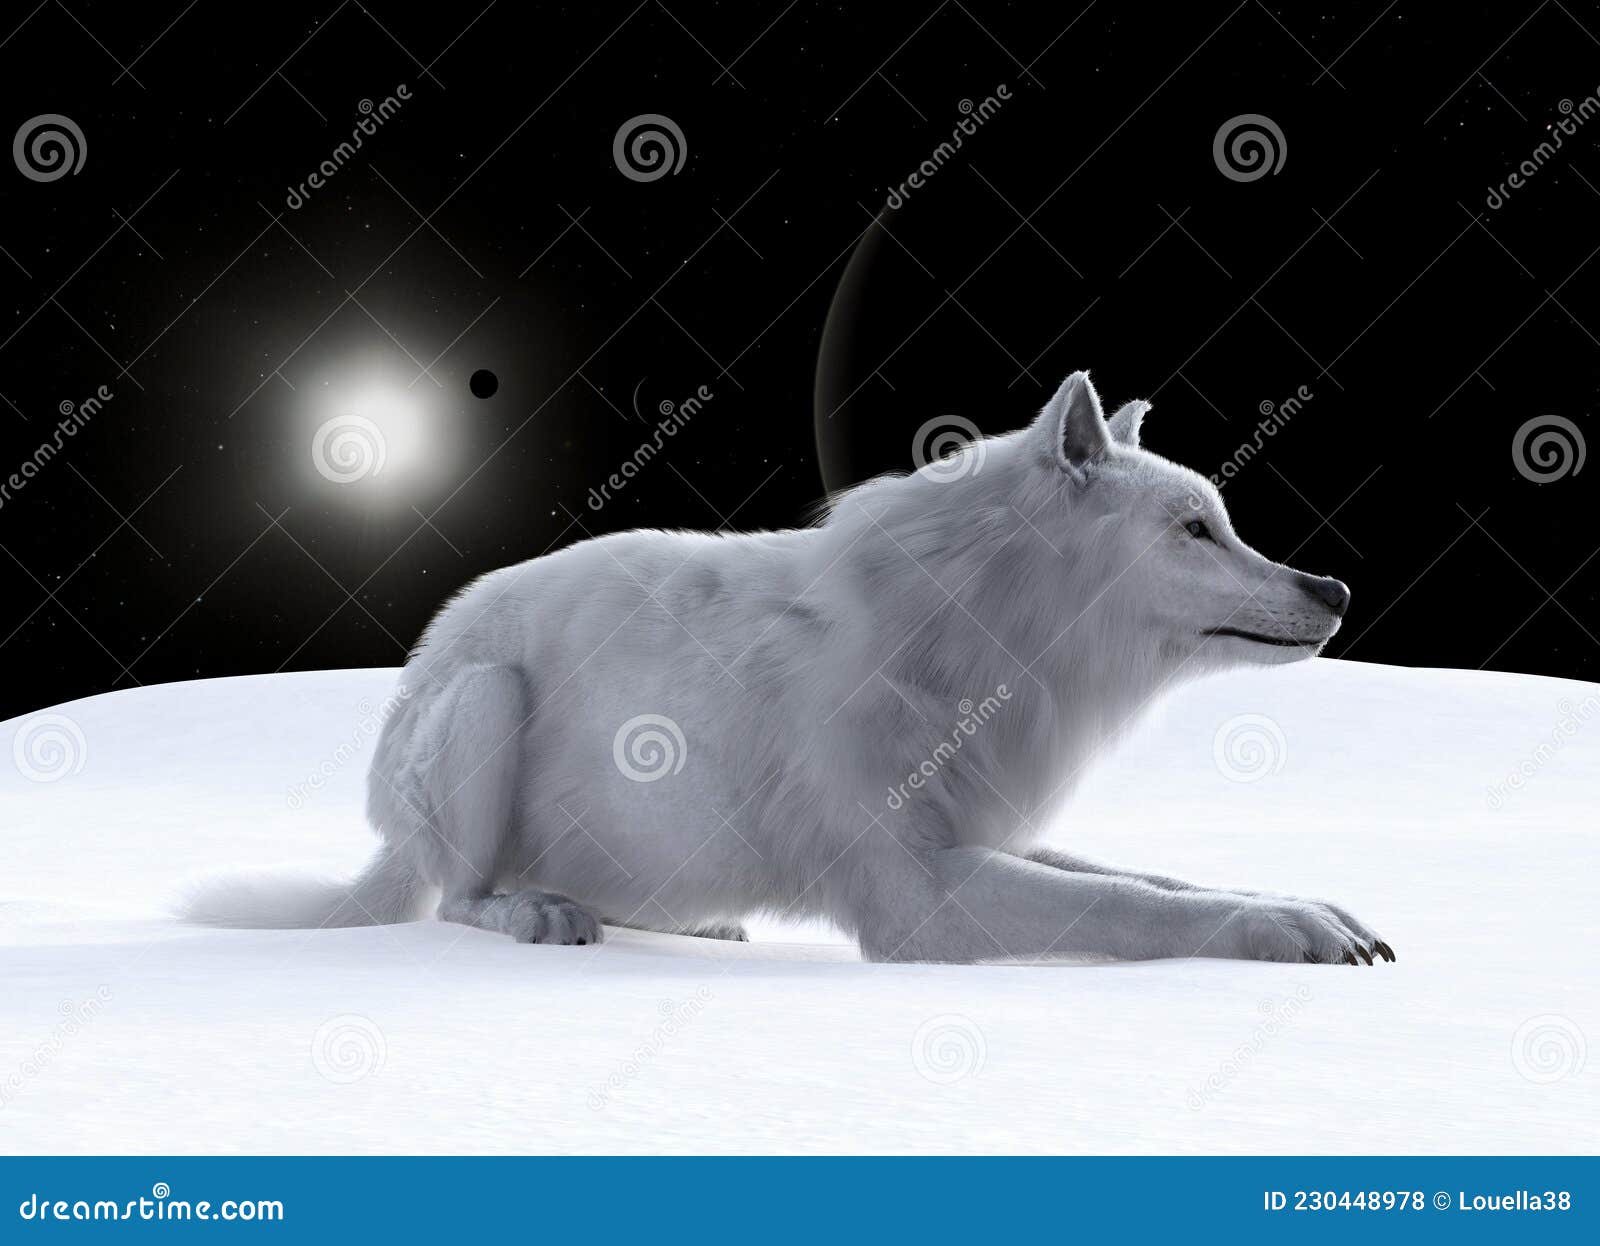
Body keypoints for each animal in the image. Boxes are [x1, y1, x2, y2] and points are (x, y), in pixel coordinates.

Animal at [186, 371, 1392, 966]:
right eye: (1195, 530)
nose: (1334, 588)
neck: (979, 634)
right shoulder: (919, 897)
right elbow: (1136, 910)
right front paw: (1281, 934)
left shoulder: (984, 829)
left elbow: (1161, 879)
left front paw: (1315, 910)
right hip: (485, 704)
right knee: (451, 900)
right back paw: (538, 915)